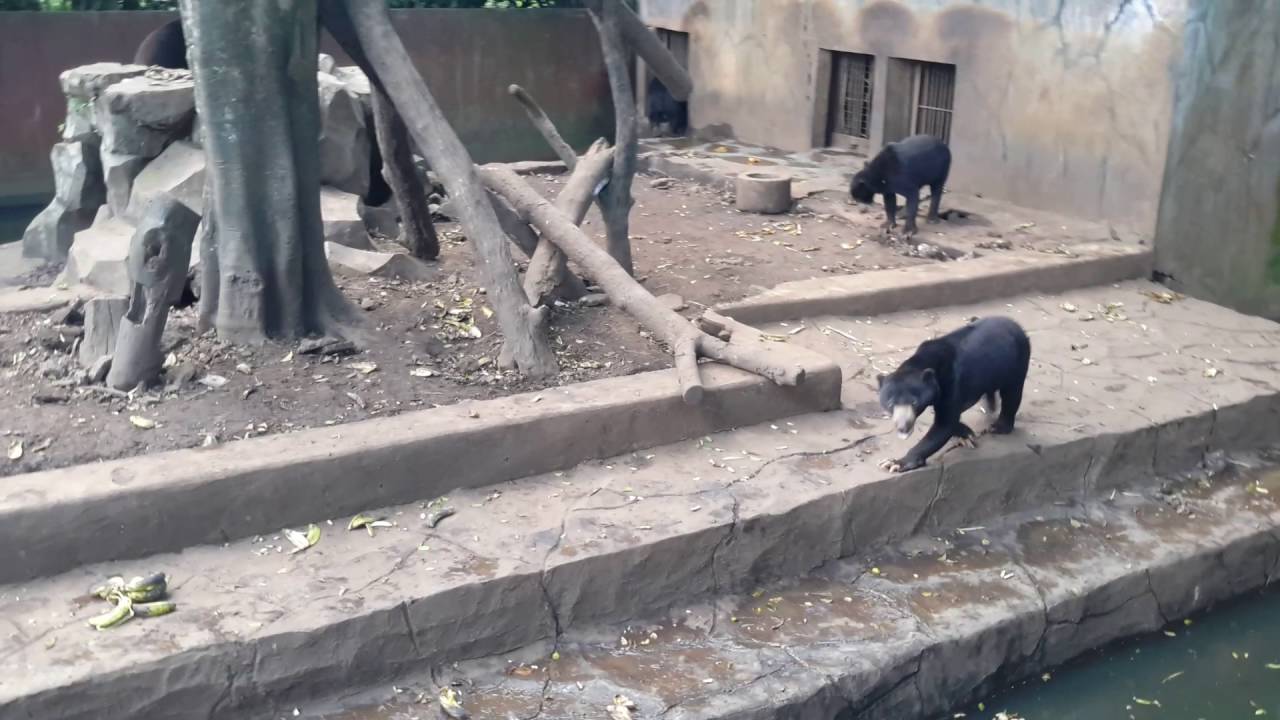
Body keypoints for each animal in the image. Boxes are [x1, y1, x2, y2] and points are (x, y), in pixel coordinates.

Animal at [875, 316, 1031, 473]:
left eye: (914, 402)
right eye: (890, 404)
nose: (903, 427)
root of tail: (1014, 323)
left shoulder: (951, 381)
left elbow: (944, 424)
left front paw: (895, 463)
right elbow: (950, 420)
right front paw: (966, 434)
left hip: (1018, 359)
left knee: (1012, 393)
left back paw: (999, 426)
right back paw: (990, 405)